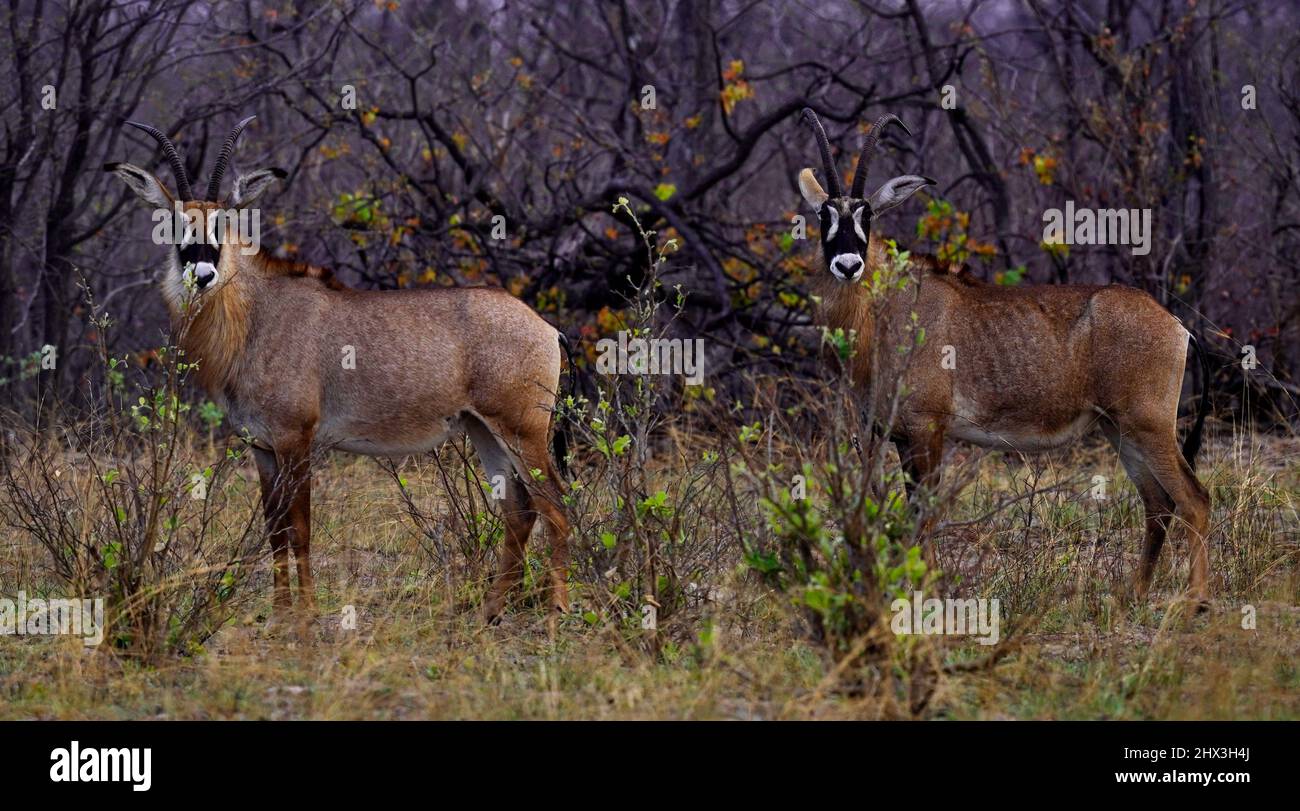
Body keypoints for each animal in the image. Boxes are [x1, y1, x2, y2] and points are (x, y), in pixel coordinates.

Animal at [105, 117, 572, 622]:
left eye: (223, 222)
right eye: (174, 222)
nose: (203, 274)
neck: (256, 314)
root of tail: (547, 329)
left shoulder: (297, 438)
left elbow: (301, 530)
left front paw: (306, 613)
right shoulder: (262, 447)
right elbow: (274, 532)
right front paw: (281, 613)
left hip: (522, 428)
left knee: (555, 503)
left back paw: (556, 611)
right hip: (483, 430)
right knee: (520, 511)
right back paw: (490, 611)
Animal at [795, 108, 1212, 608]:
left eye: (868, 214)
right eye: (823, 214)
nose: (848, 265)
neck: (886, 308)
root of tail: (1177, 325)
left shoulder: (927, 430)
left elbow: (923, 515)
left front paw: (927, 593)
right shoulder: (897, 436)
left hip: (1149, 426)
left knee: (1193, 499)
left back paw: (1195, 602)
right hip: (1121, 430)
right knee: (1158, 504)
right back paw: (1132, 593)